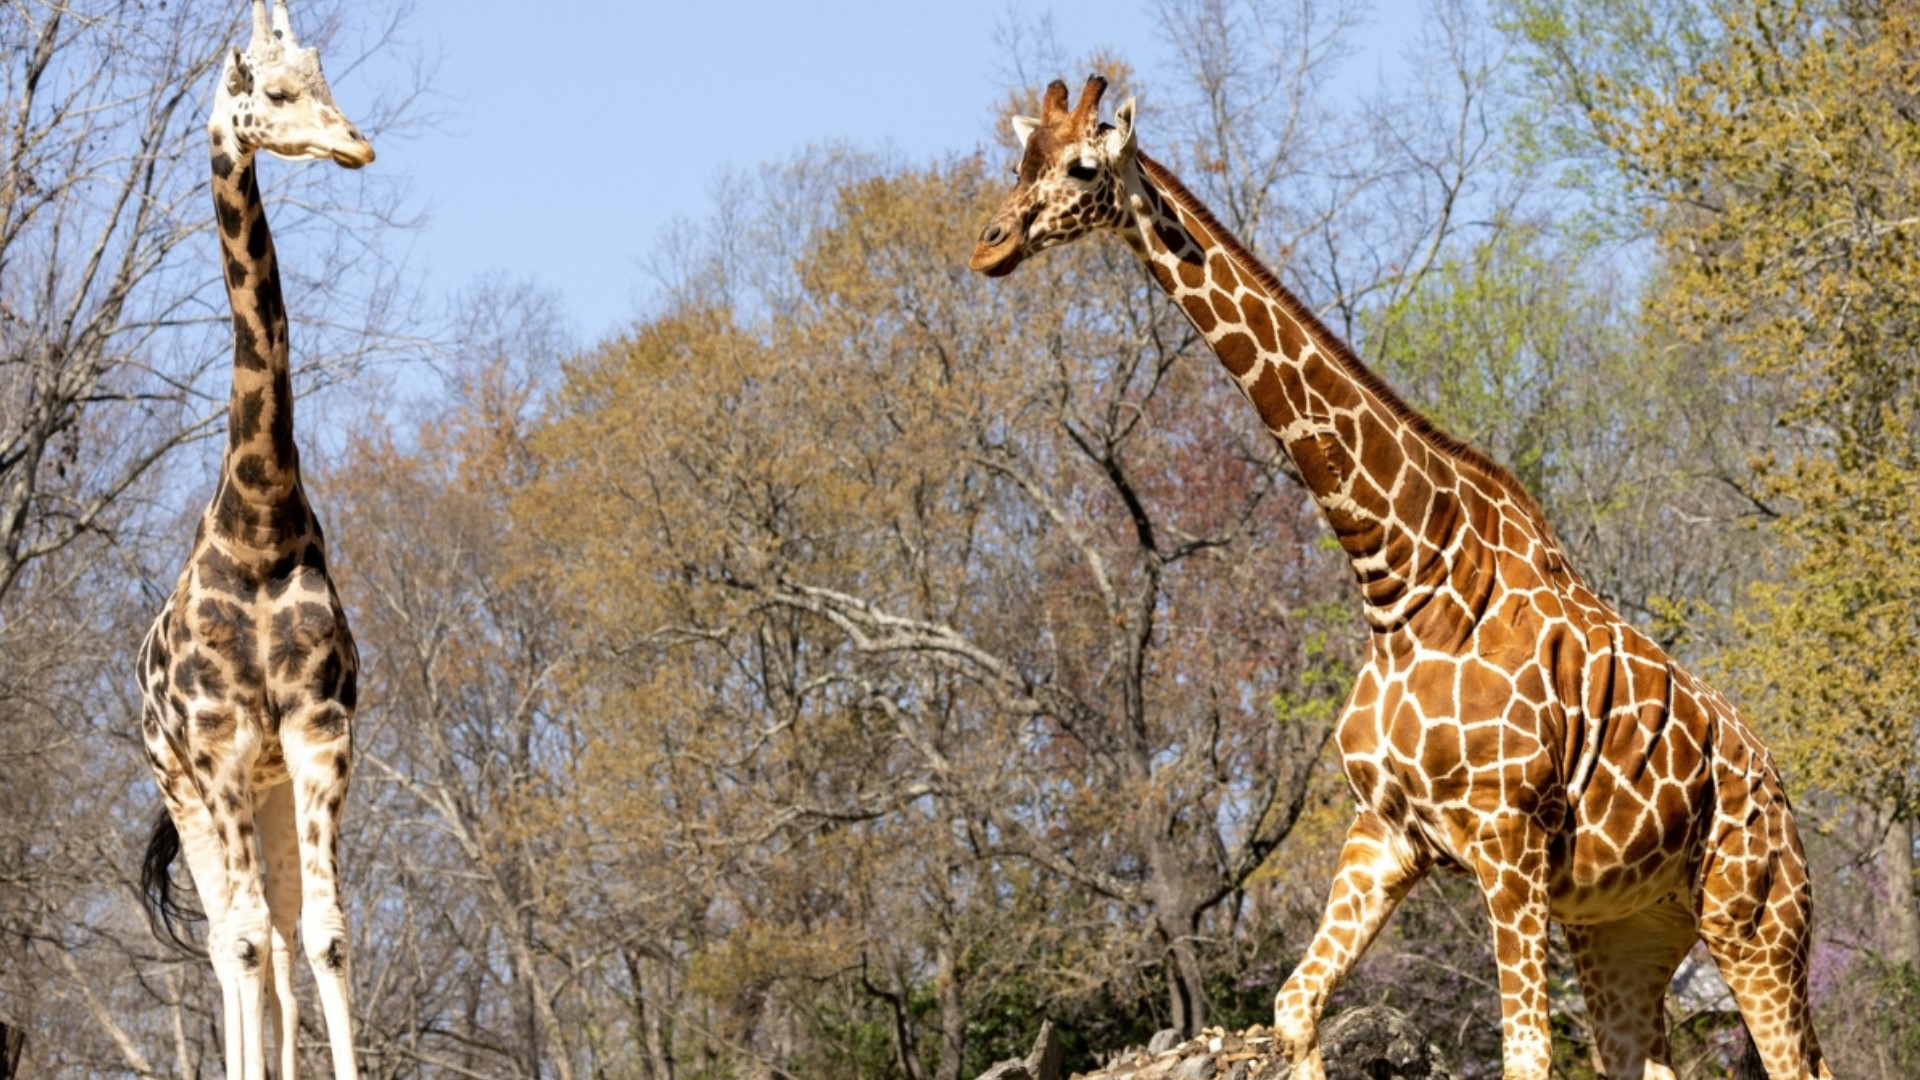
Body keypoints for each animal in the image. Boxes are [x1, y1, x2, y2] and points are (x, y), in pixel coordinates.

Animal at [969, 76, 1829, 1080]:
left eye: (1081, 166)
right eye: (1018, 160)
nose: (989, 243)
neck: (1401, 577)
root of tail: (1781, 791)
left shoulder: (1509, 842)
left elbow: (1525, 1055)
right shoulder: (1387, 831)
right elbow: (1295, 1007)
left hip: (1756, 922)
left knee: (1799, 1057)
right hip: (1629, 928)